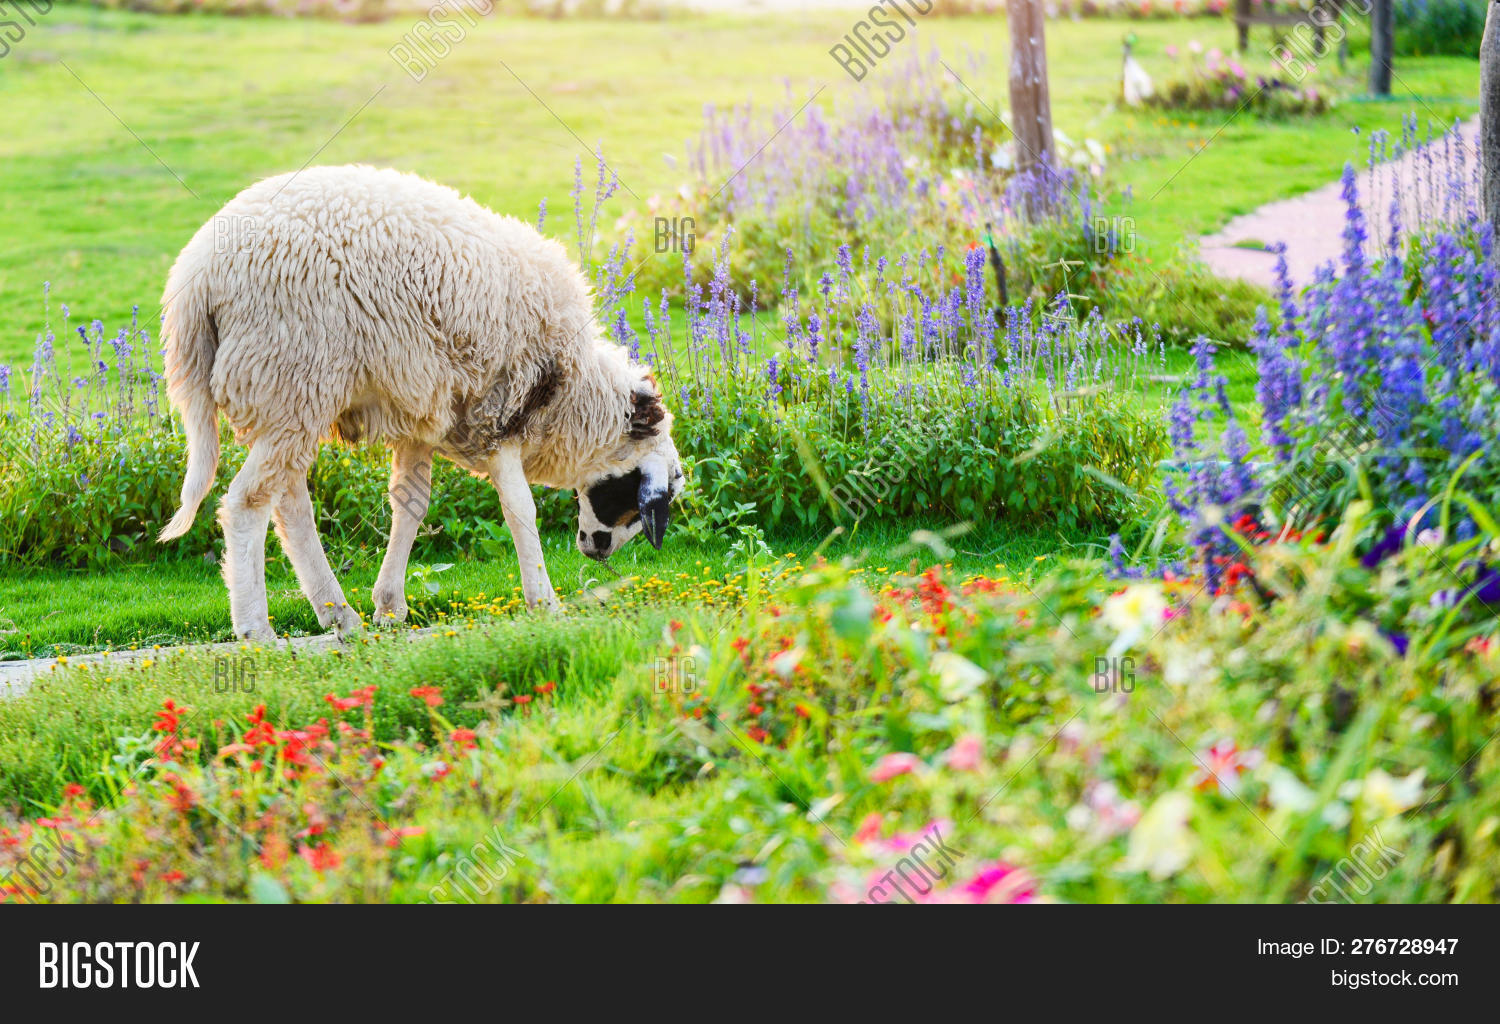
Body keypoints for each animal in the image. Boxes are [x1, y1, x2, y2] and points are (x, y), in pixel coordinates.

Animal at [157, 164, 683, 641]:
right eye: (639, 494)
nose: (598, 553)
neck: (574, 398)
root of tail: (196, 278)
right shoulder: (497, 415)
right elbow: (520, 509)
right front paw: (545, 602)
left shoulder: (425, 416)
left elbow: (409, 505)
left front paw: (390, 606)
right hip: (292, 379)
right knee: (248, 502)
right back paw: (255, 628)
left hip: (287, 397)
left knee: (288, 503)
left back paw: (338, 614)